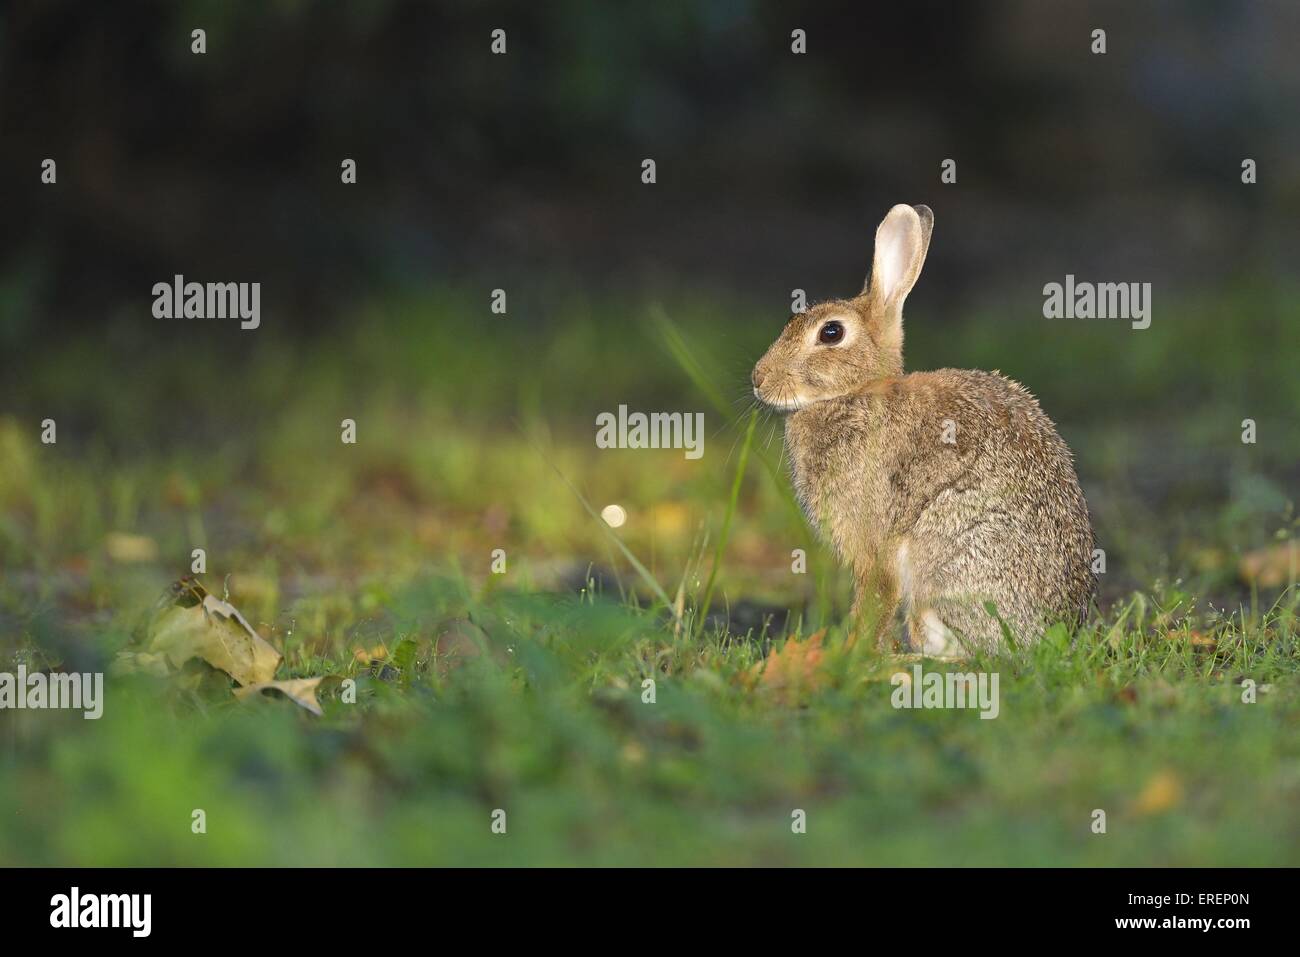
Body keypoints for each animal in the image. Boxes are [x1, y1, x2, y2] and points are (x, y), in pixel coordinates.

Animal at [751, 204, 1096, 654]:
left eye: (831, 332)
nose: (758, 379)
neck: (858, 392)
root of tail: (1056, 631)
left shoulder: (873, 545)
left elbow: (877, 597)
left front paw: (852, 652)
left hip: (942, 570)